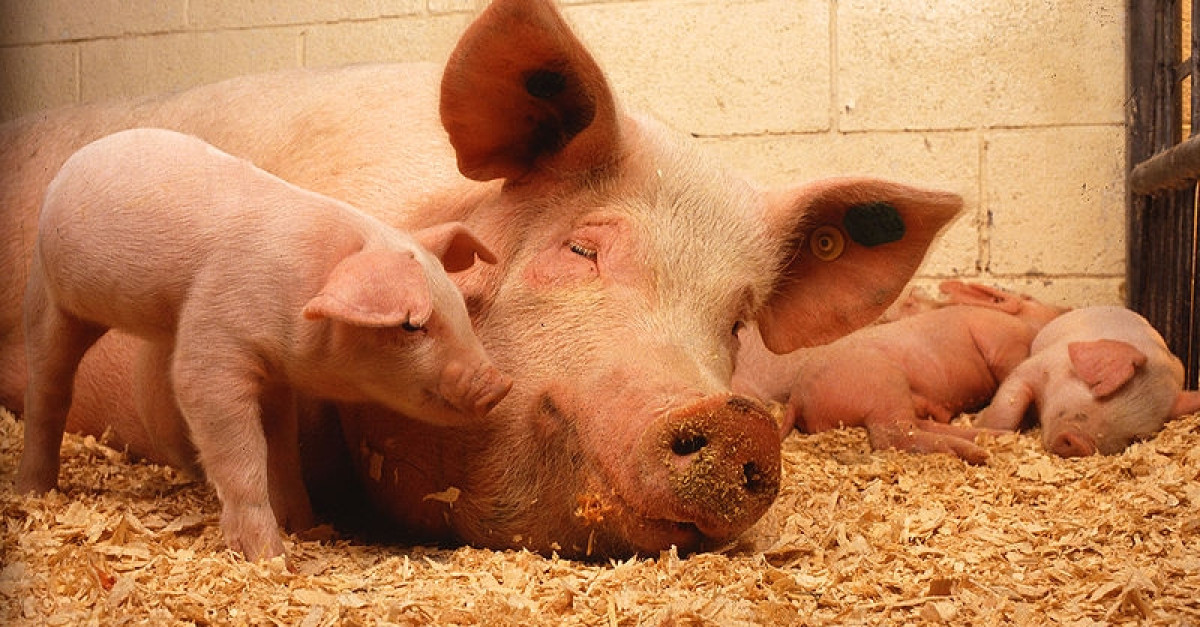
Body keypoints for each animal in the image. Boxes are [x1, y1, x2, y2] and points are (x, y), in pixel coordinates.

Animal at [15, 128, 511, 559]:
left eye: (459, 306)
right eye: (411, 326)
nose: (499, 385)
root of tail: (76, 160)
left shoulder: (275, 376)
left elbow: (283, 450)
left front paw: (307, 528)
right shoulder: (214, 339)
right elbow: (239, 448)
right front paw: (270, 556)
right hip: (50, 296)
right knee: (48, 389)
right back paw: (35, 491)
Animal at [734, 281, 1068, 463]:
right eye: (1032, 299)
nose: (1064, 309)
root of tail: (798, 398)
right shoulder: (1002, 341)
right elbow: (1009, 368)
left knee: (916, 425)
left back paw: (989, 440)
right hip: (883, 384)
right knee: (892, 435)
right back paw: (975, 453)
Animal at [976, 306, 1200, 457]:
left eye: (1134, 437)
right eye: (1102, 391)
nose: (1080, 444)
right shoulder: (1036, 365)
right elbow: (1009, 406)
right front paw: (985, 427)